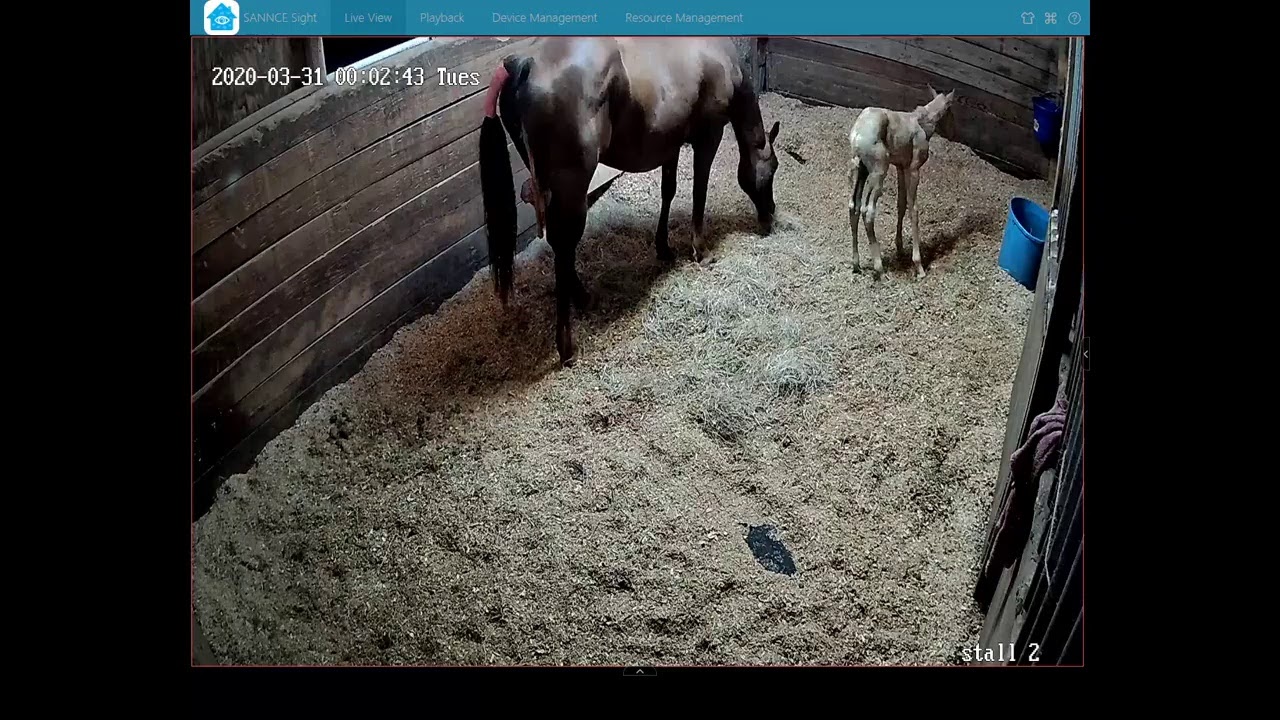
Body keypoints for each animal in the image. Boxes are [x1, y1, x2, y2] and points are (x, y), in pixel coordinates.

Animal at [479, 37, 783, 367]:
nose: (770, 216)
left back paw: (582, 297)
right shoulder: (708, 136)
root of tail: (526, 63)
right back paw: (566, 344)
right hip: (571, 187)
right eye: (773, 167)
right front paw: (700, 251)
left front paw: (664, 248)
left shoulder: (671, 144)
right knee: (564, 244)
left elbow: (669, 190)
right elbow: (698, 193)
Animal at [848, 87, 956, 280]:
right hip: (878, 173)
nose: (953, 133)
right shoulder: (914, 169)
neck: (921, 122)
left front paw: (900, 249)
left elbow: (901, 204)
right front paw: (919, 267)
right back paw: (879, 268)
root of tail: (857, 136)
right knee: (868, 211)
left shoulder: (900, 167)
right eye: (951, 109)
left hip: (861, 170)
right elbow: (914, 209)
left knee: (854, 206)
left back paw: (856, 264)